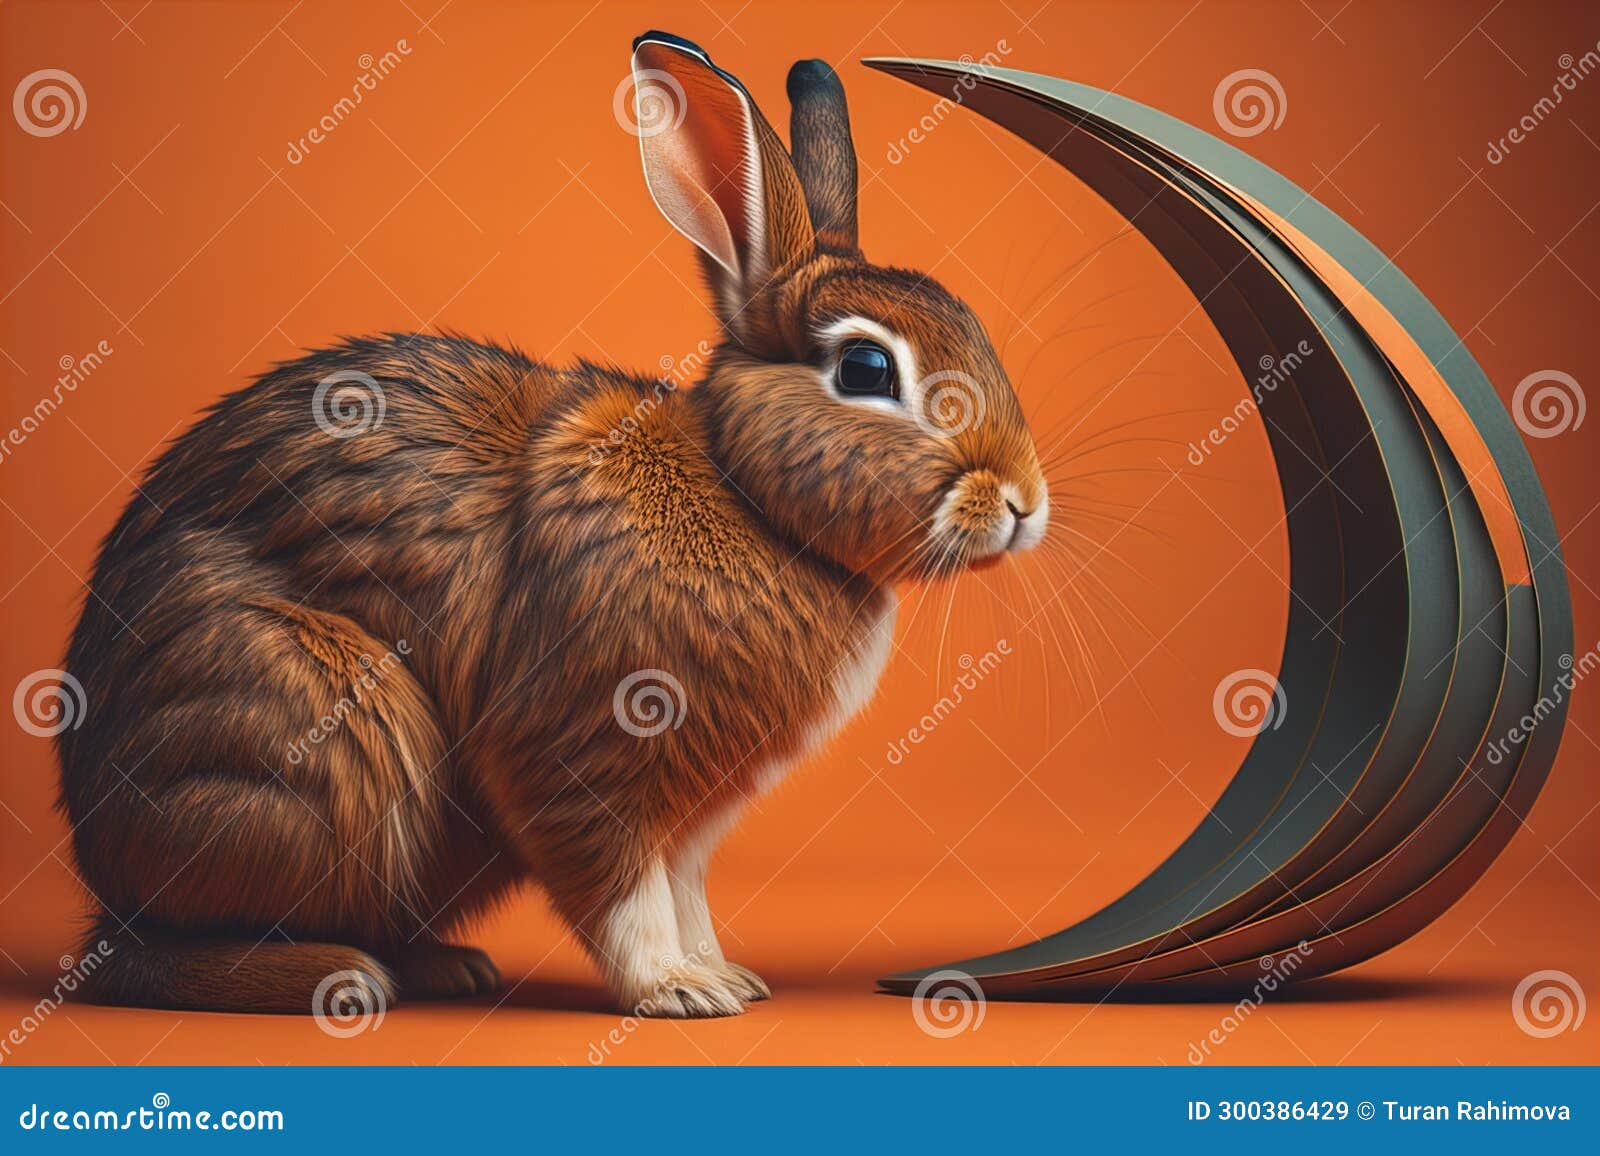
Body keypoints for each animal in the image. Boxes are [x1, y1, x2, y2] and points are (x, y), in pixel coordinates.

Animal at [55, 30, 1049, 1019]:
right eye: (867, 368)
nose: (1023, 502)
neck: (744, 494)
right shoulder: (584, 743)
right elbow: (618, 887)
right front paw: (677, 991)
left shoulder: (690, 815)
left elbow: (681, 888)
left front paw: (724, 976)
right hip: (318, 733)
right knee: (166, 949)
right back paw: (335, 977)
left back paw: (445, 968)